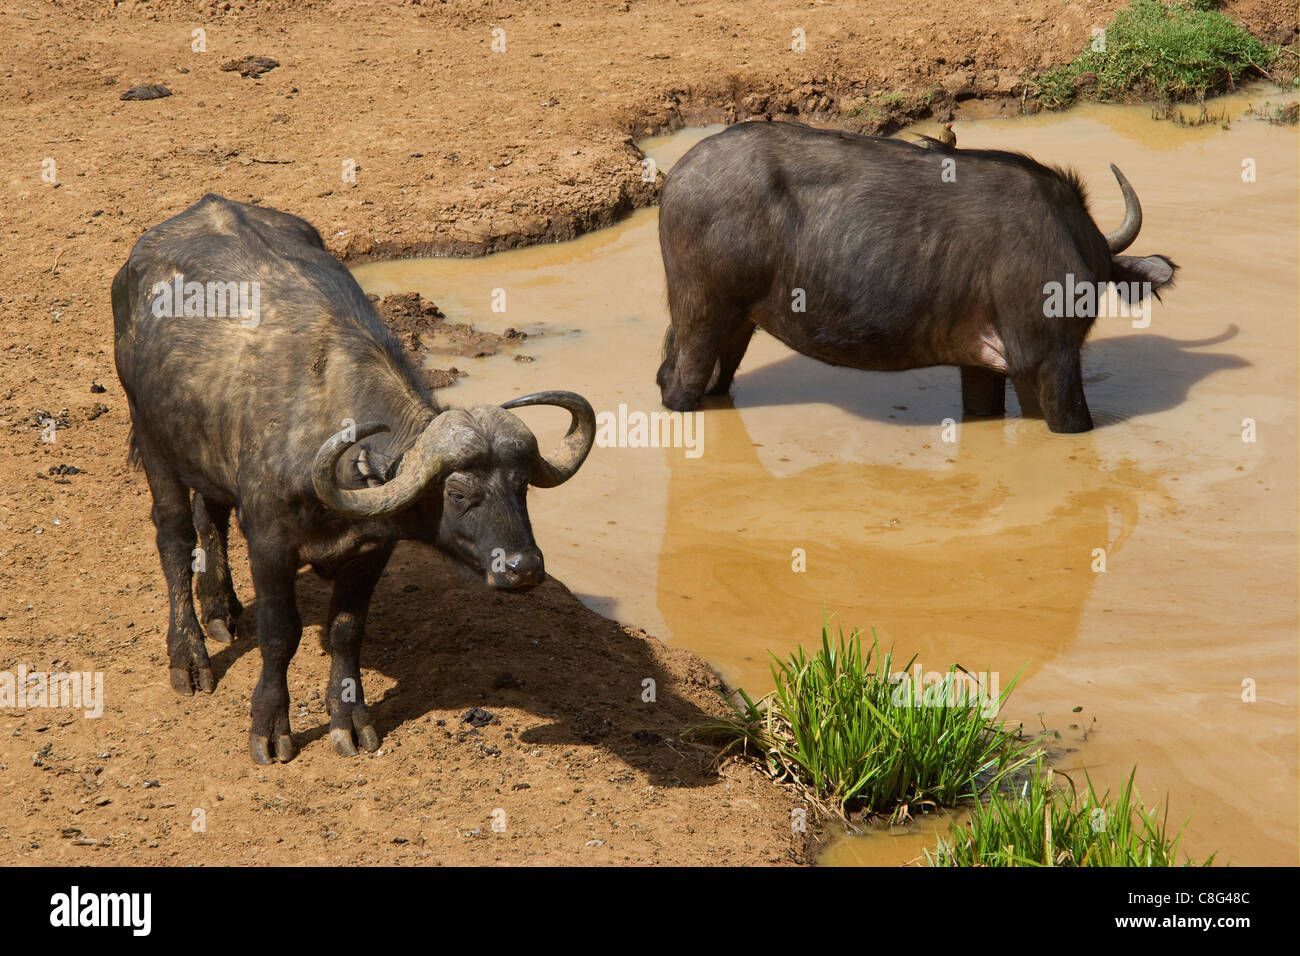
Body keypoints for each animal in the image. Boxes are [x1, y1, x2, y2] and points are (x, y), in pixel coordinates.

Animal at [113, 194, 595, 764]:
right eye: (459, 493)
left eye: (521, 486)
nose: (524, 568)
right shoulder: (269, 543)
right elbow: (280, 635)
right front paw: (270, 728)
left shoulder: (371, 550)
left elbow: (347, 631)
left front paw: (350, 718)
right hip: (151, 436)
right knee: (173, 534)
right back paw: (189, 657)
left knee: (209, 513)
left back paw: (221, 609)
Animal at [655, 121, 1177, 432]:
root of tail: (677, 177)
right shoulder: (1053, 360)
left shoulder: (987, 364)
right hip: (702, 314)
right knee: (679, 386)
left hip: (734, 323)